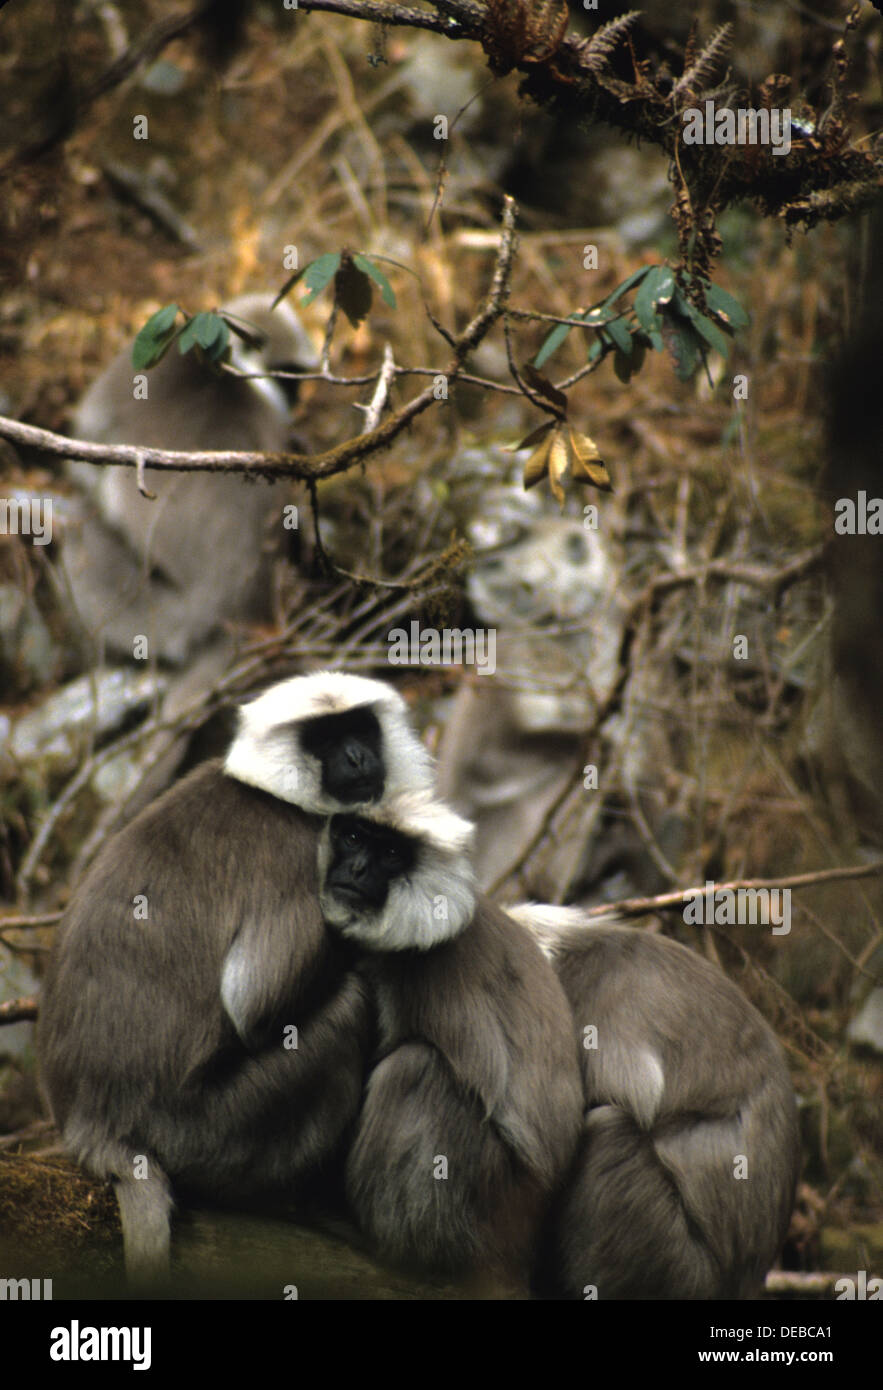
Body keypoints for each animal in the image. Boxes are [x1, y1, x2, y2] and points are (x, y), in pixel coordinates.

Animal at [37, 670, 436, 1288]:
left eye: (360, 728)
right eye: (326, 739)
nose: (356, 756)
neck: (278, 794)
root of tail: (96, 1129)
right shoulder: (302, 849)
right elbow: (253, 1001)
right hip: (208, 1132)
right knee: (348, 1008)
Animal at [316, 795, 585, 1296]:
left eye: (391, 854)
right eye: (354, 838)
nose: (357, 869)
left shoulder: (412, 968)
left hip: (487, 1201)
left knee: (415, 1068)